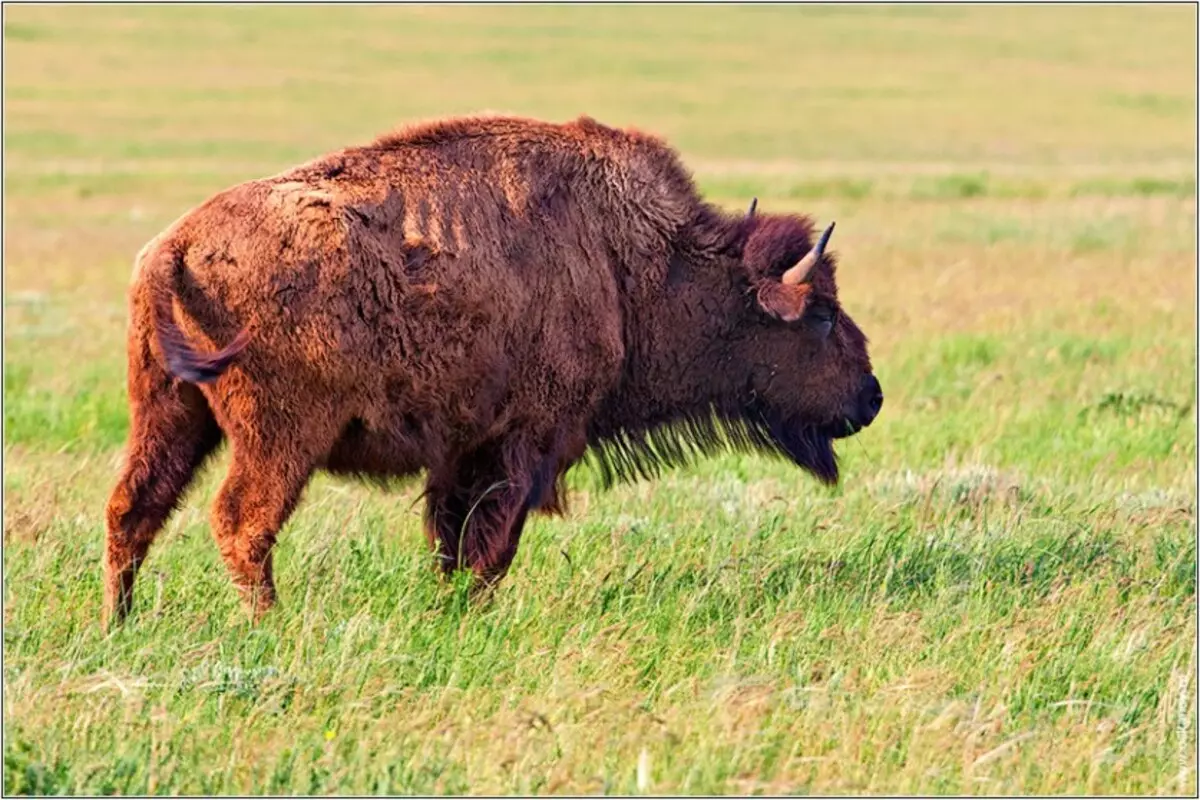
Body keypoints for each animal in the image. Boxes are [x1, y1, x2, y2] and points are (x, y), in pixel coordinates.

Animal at [103, 113, 888, 623]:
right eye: (822, 315)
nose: (872, 397)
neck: (631, 266)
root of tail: (179, 243)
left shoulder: (461, 454)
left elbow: (451, 544)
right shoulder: (523, 446)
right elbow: (489, 547)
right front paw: (472, 615)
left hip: (170, 415)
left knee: (133, 509)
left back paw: (121, 624)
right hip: (281, 436)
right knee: (242, 523)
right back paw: (273, 626)